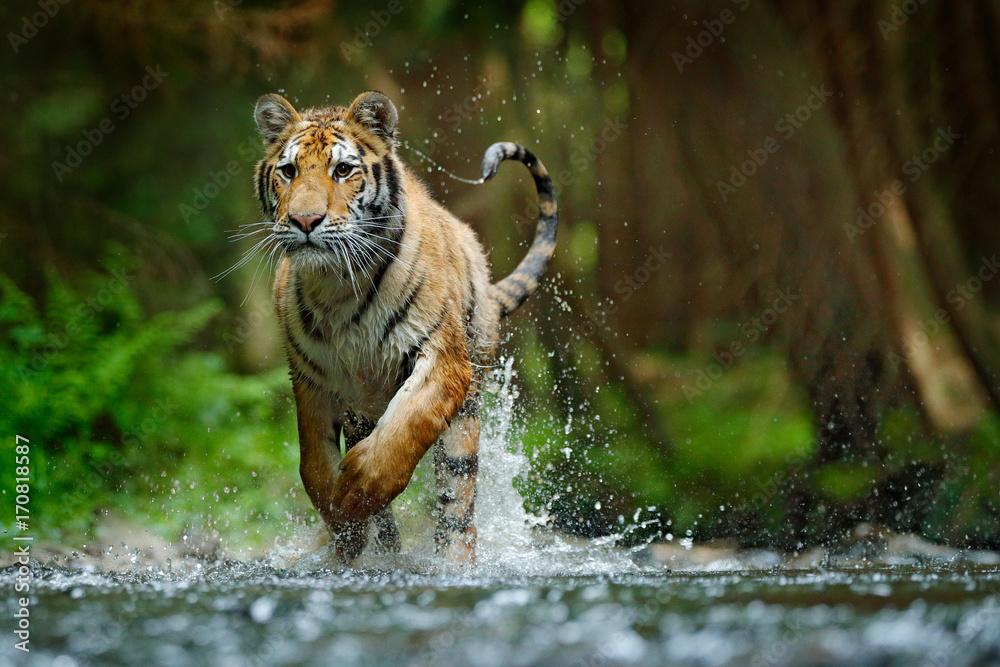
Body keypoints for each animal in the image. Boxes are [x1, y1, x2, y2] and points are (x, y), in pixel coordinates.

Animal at [251, 90, 558, 563]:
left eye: (343, 170)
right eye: (288, 171)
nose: (304, 222)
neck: (337, 286)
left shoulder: (443, 360)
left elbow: (403, 431)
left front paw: (355, 489)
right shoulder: (310, 376)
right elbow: (314, 464)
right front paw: (343, 525)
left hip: (466, 415)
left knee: (458, 508)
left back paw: (453, 563)